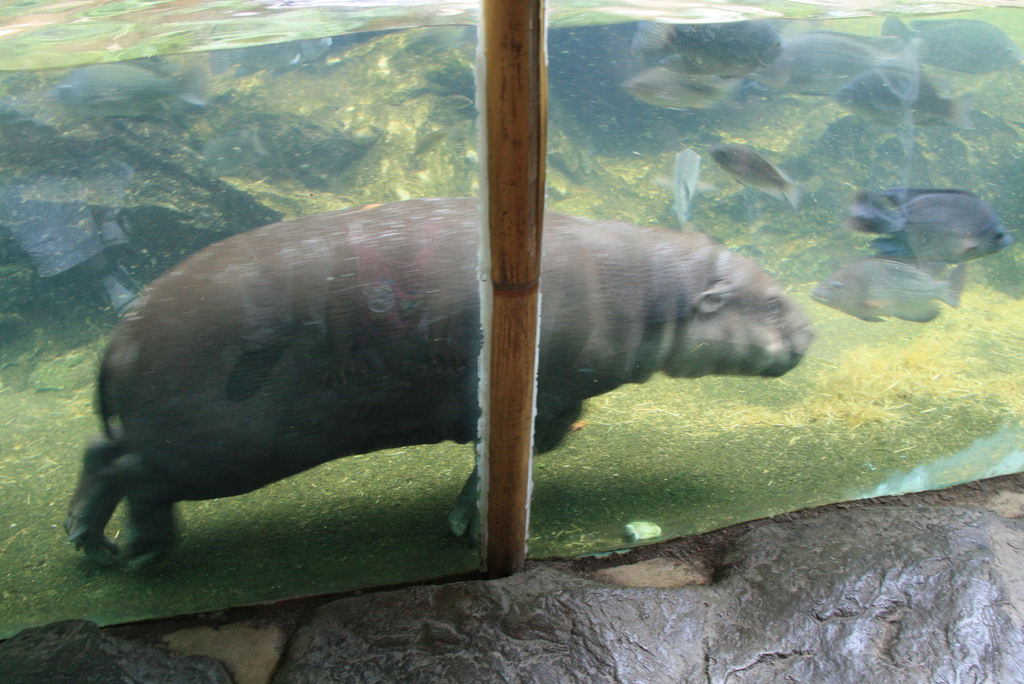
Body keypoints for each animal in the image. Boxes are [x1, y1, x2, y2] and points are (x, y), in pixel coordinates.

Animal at [65, 198, 813, 566]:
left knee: (101, 454)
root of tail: (119, 340)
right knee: (135, 475)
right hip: (223, 449)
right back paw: (144, 552)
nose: (810, 330)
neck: (659, 290)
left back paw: (89, 544)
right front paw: (465, 525)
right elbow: (506, 459)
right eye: (773, 301)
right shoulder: (543, 396)